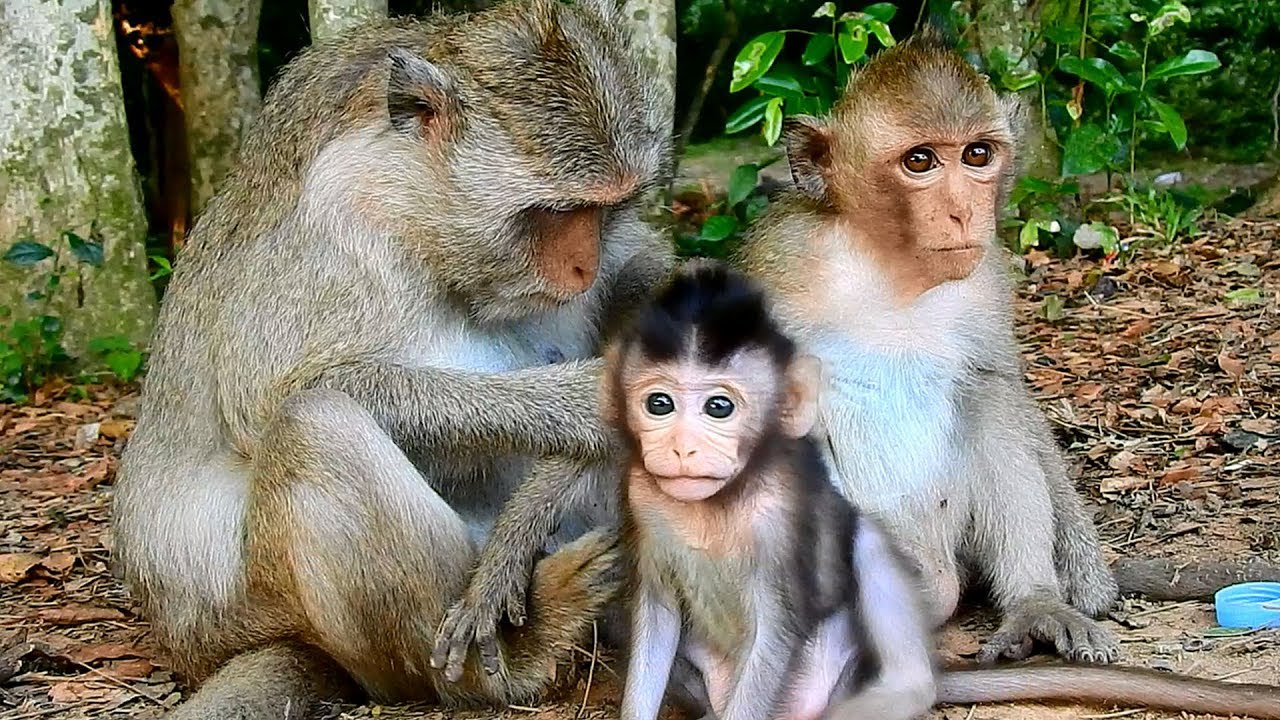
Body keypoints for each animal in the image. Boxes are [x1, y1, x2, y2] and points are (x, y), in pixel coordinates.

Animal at [109, 1, 676, 718]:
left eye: (608, 210)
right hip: (260, 608)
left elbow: (642, 261)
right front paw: (587, 403)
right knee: (314, 427)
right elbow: (268, 400)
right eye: (555, 213)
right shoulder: (333, 237)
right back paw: (499, 666)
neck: (412, 214)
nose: (583, 267)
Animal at [608, 259, 938, 720]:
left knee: (866, 540)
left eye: (719, 407)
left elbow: (774, 633)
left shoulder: (777, 514)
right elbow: (656, 613)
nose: (683, 447)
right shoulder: (640, 497)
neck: (715, 504)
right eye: (659, 404)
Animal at [730, 28, 1280, 720]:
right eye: (920, 162)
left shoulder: (987, 273)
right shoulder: (779, 261)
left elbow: (1001, 379)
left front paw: (1086, 580)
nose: (965, 214)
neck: (889, 262)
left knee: (984, 399)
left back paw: (1033, 606)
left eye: (977, 154)